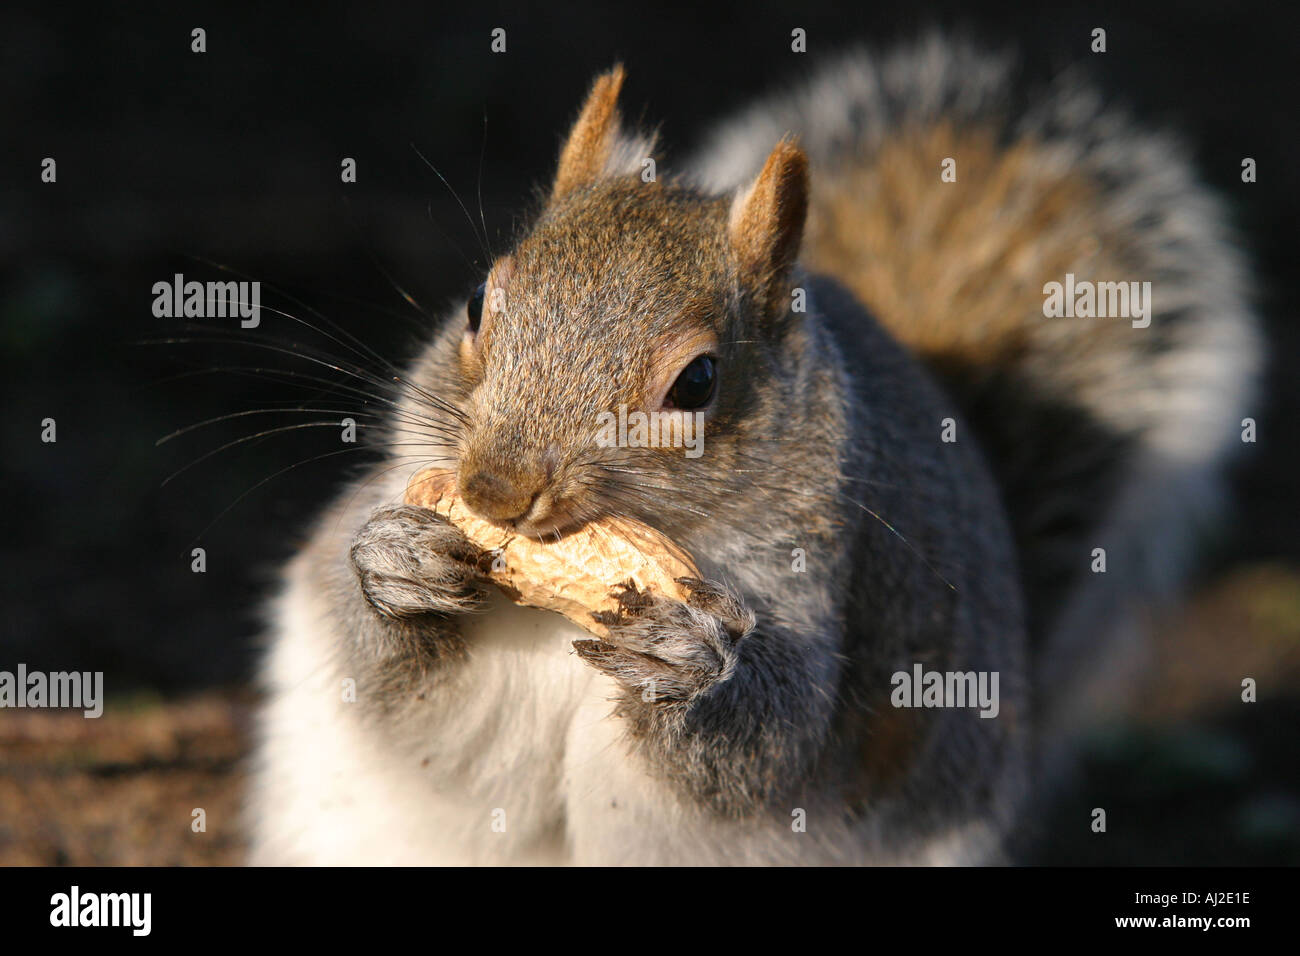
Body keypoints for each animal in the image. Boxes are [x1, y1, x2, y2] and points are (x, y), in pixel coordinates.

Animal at [247, 37, 1260, 865]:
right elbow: (396, 684)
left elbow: (769, 747)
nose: (495, 492)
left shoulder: (819, 591)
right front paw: (395, 565)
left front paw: (693, 667)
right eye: (475, 304)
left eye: (697, 382)